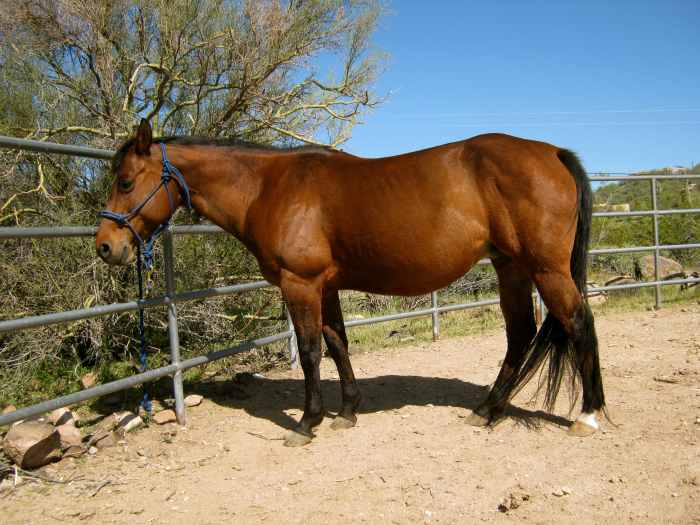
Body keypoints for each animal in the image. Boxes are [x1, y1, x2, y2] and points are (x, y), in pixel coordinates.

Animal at [96, 119, 606, 446]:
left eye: (126, 182)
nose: (105, 247)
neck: (268, 187)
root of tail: (552, 153)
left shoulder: (300, 284)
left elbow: (309, 352)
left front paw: (307, 422)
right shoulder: (326, 287)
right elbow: (338, 343)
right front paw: (347, 412)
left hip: (546, 269)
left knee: (579, 323)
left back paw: (588, 415)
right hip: (511, 268)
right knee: (520, 334)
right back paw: (488, 411)